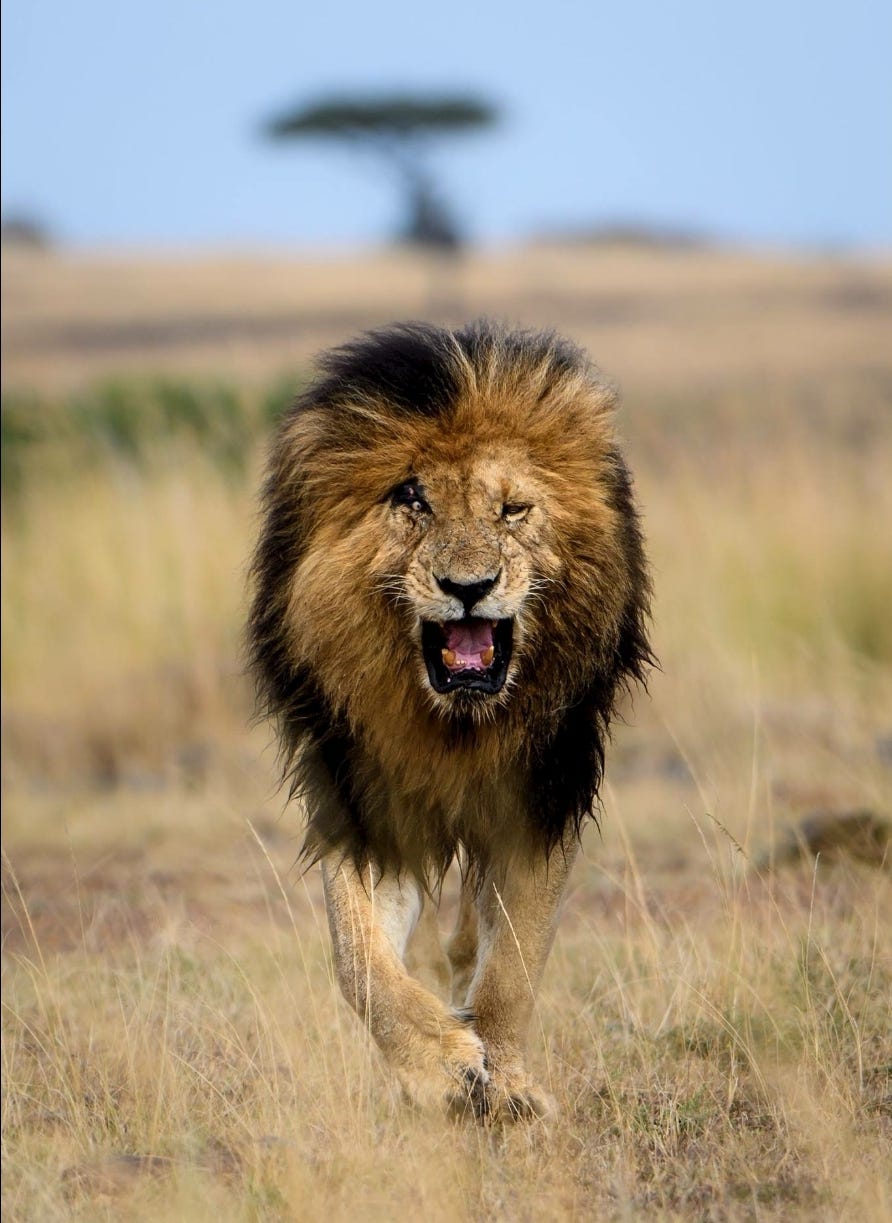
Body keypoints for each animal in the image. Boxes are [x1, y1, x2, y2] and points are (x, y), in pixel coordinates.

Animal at [249, 320, 652, 1121]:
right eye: (414, 501)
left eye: (513, 510)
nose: (470, 587)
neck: (456, 724)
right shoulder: (361, 803)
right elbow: (359, 961)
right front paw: (436, 1065)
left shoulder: (543, 796)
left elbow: (516, 958)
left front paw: (506, 1078)